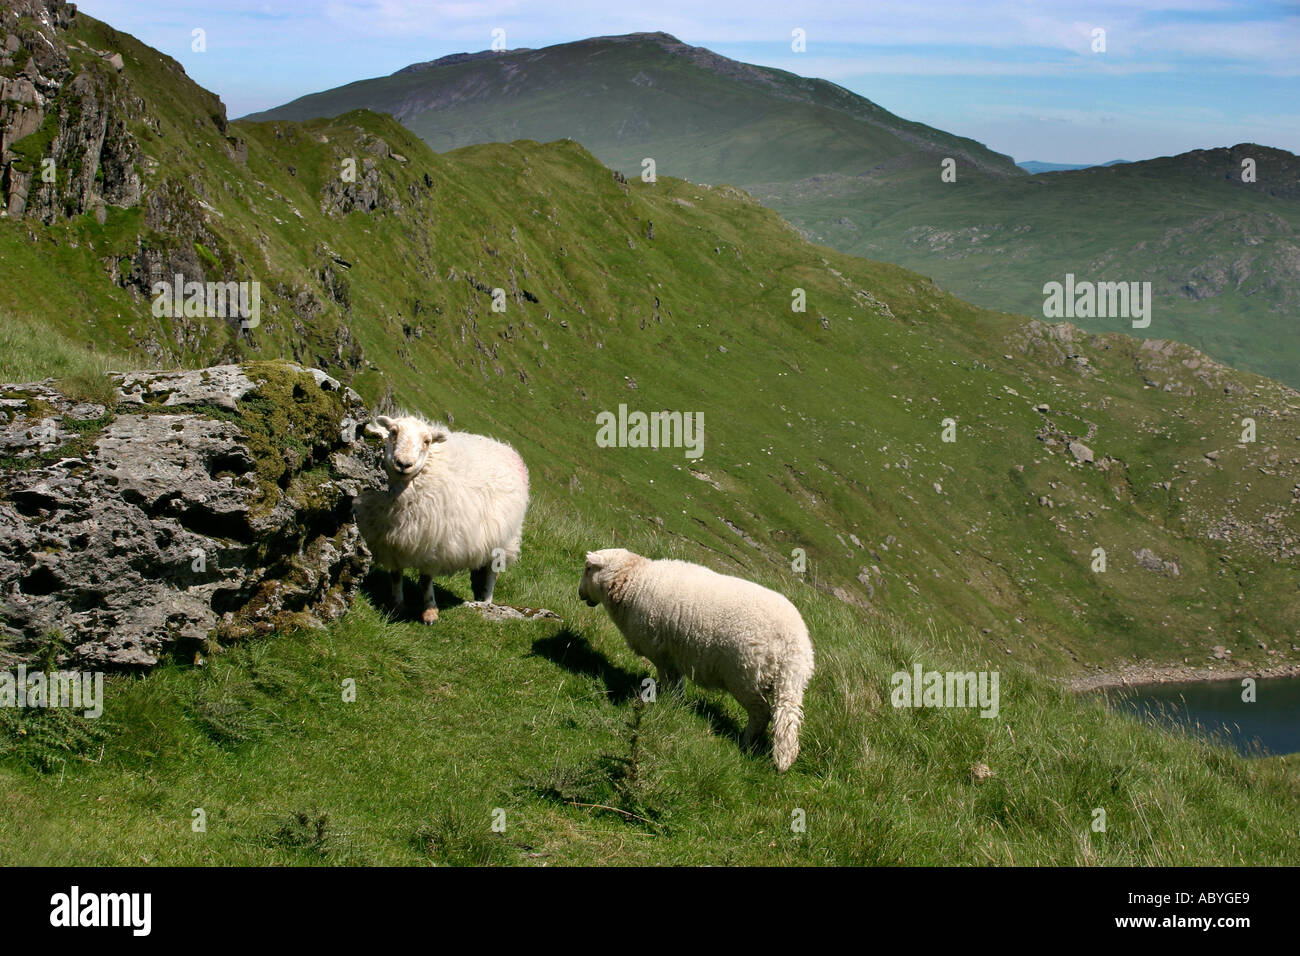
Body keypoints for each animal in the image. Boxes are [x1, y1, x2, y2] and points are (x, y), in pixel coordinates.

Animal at [355, 414, 529, 623]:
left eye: (427, 441)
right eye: (393, 432)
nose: (403, 464)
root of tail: (506, 447)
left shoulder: (432, 539)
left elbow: (426, 579)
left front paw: (430, 610)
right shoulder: (392, 541)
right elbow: (396, 575)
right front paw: (397, 606)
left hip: (505, 540)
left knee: (491, 572)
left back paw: (486, 602)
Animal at [578, 548, 814, 771]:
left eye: (588, 568)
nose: (580, 593)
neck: (633, 579)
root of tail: (794, 647)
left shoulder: (662, 654)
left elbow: (669, 682)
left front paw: (666, 701)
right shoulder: (674, 653)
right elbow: (678, 683)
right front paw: (676, 702)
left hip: (745, 676)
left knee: (761, 713)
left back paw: (746, 742)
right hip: (786, 681)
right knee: (785, 718)